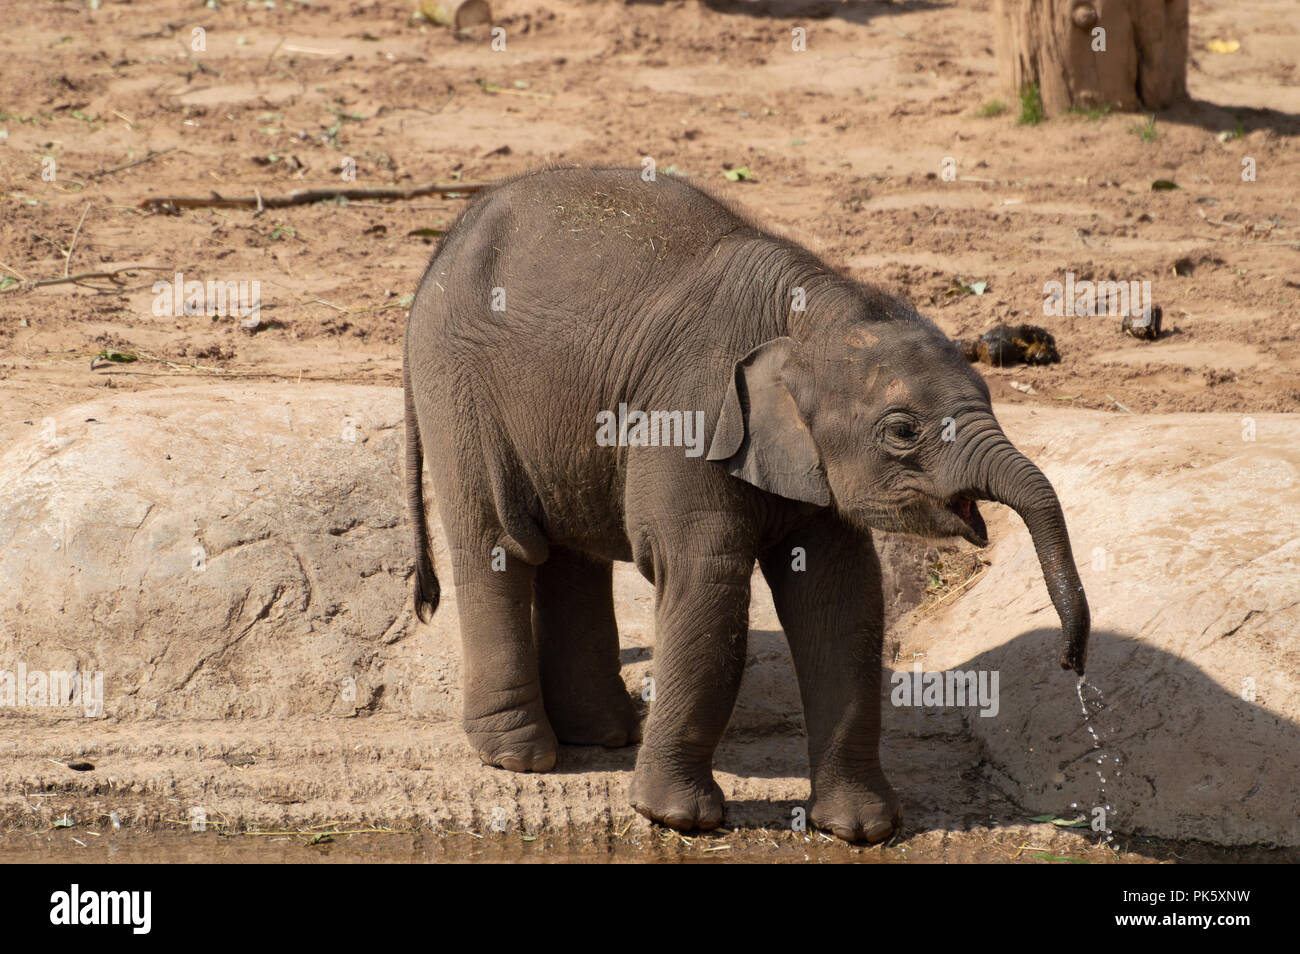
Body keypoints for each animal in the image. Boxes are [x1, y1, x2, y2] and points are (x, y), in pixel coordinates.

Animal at [403, 166, 1090, 843]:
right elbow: (705, 581)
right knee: (502, 542)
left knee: (574, 553)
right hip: (459, 388)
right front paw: (678, 819)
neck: (807, 313)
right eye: (901, 430)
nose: (1072, 661)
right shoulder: (688, 418)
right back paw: (520, 756)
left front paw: (861, 830)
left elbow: (840, 595)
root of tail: (442, 246)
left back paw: (606, 734)